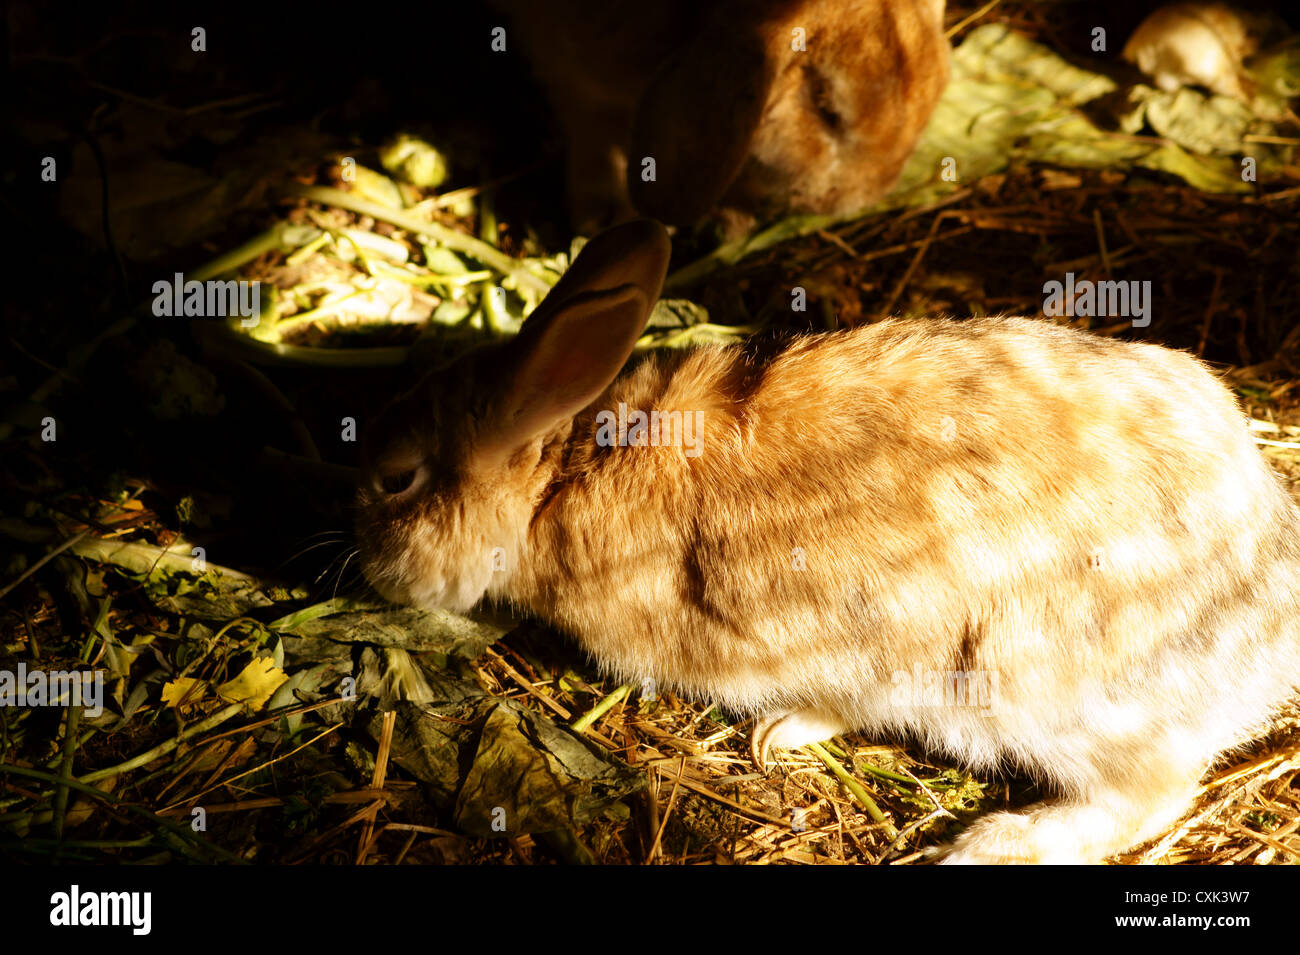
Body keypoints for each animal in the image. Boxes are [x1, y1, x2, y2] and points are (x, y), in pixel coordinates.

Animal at [356, 219, 1300, 863]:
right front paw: (783, 731)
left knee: (1150, 793)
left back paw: (985, 845)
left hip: (1040, 688)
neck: (560, 479)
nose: (366, 563)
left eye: (395, 478)